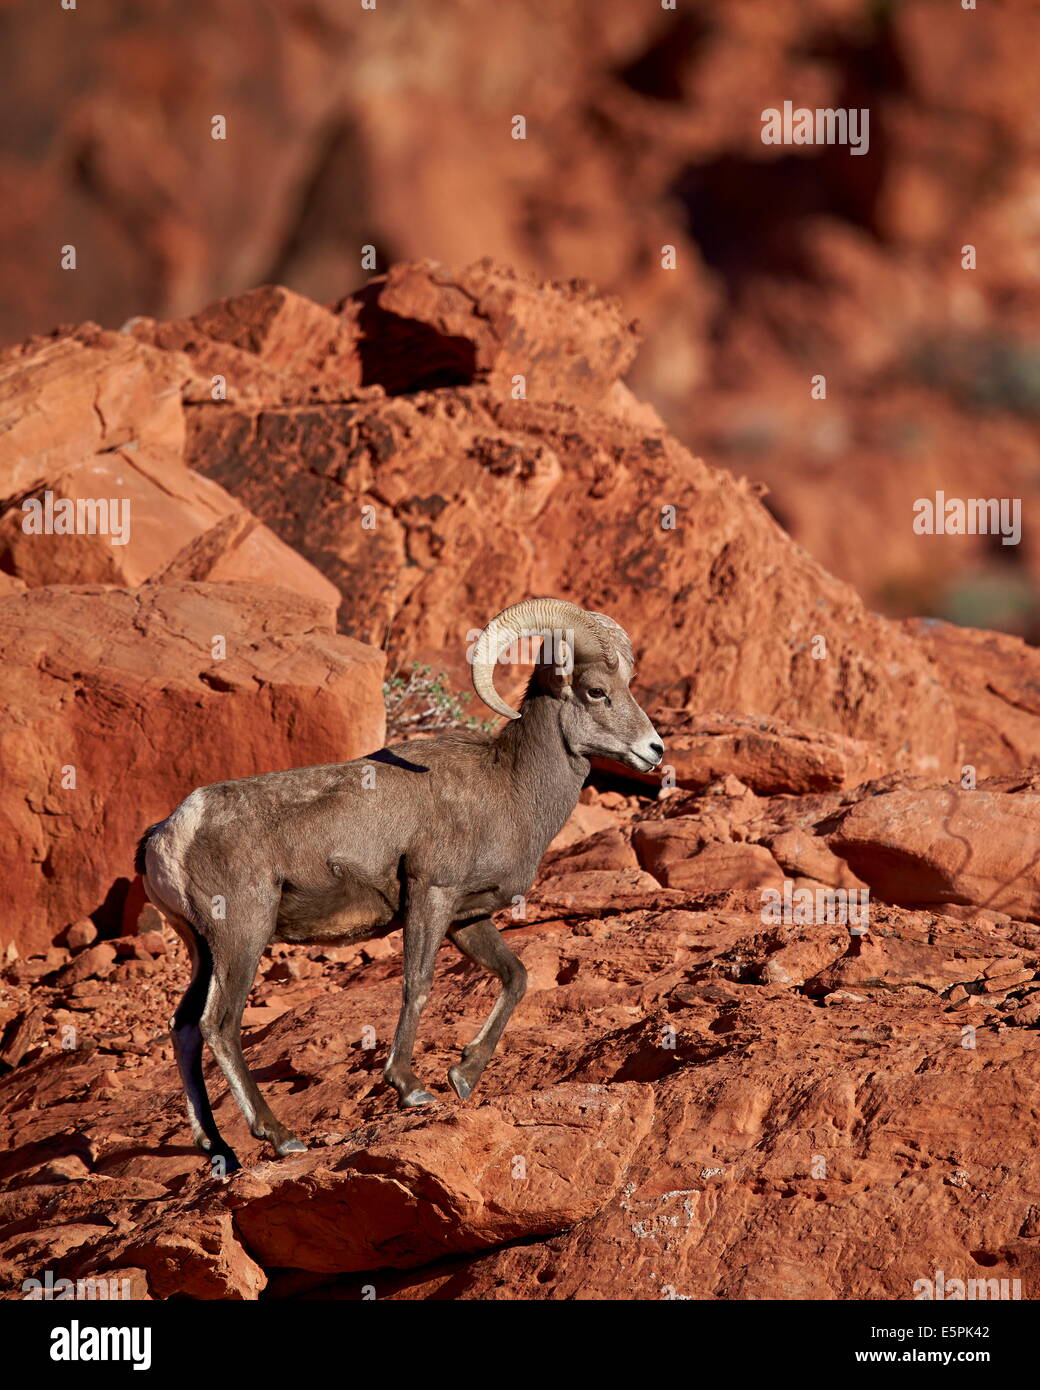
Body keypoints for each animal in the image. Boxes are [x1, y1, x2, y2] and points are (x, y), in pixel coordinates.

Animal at [136, 597, 664, 1170]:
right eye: (596, 691)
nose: (654, 750)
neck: (509, 789)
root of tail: (169, 834)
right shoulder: (431, 895)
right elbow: (418, 984)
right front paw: (411, 1087)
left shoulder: (468, 917)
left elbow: (516, 977)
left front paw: (464, 1074)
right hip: (242, 936)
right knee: (220, 1026)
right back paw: (279, 1136)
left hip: (203, 950)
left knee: (185, 1029)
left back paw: (219, 1150)